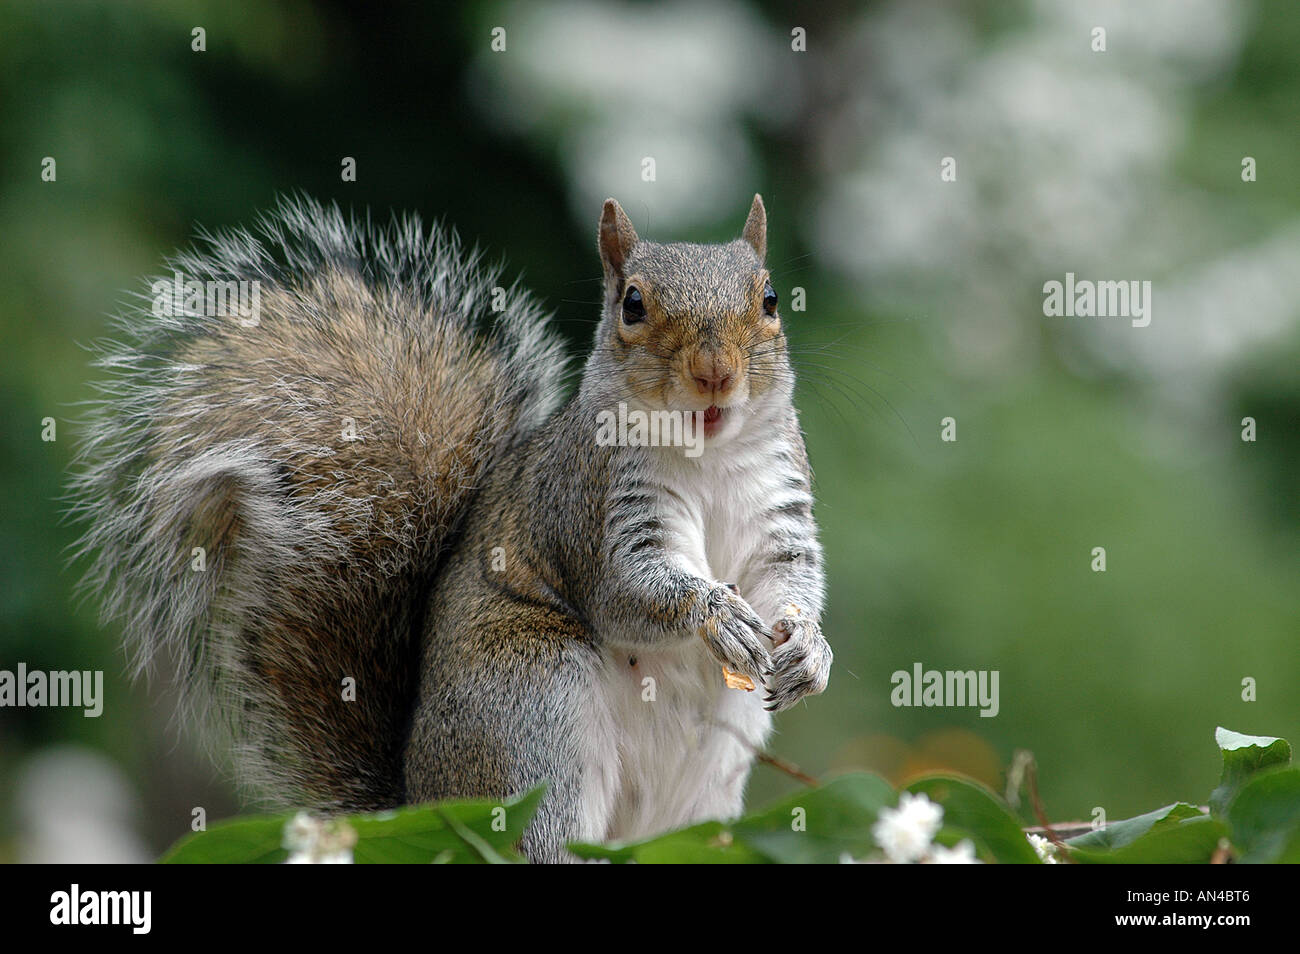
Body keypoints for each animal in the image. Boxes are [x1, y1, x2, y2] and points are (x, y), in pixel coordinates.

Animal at [71, 193, 831, 862]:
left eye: (769, 300)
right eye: (633, 305)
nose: (715, 373)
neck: (708, 456)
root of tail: (421, 803)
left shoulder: (779, 511)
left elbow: (791, 579)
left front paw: (809, 649)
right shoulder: (589, 506)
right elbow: (627, 591)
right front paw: (718, 615)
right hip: (531, 714)